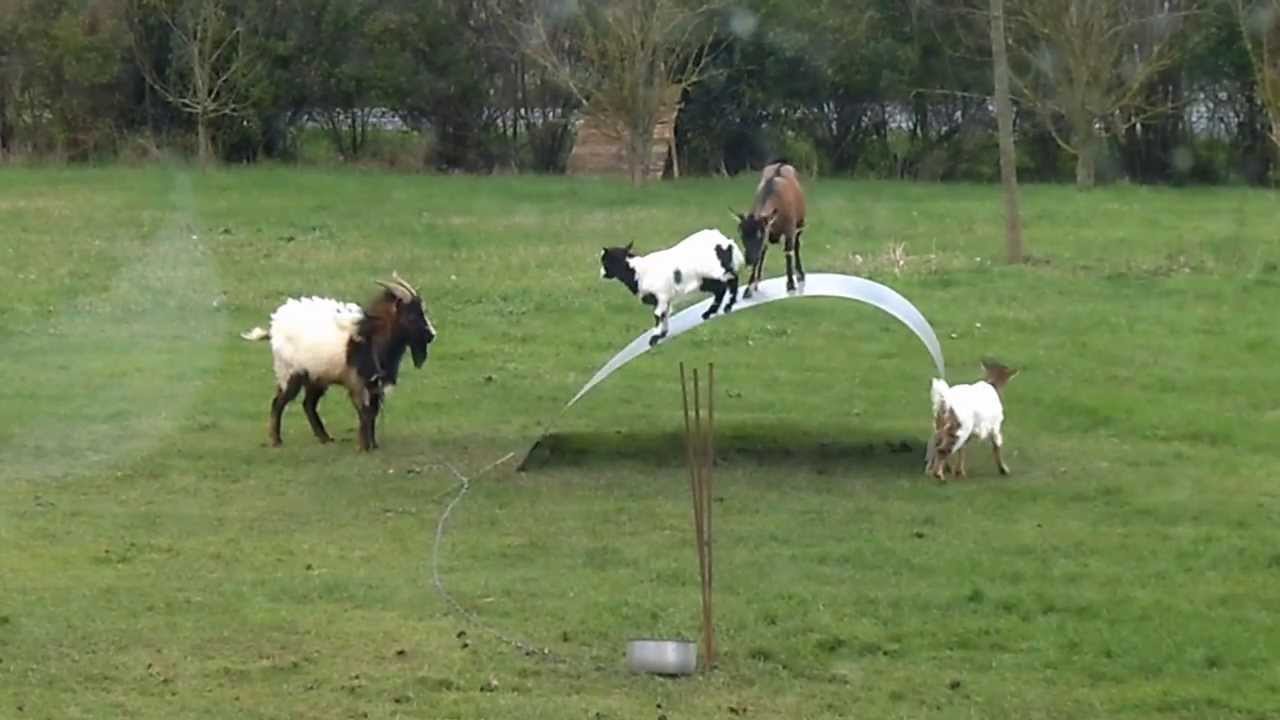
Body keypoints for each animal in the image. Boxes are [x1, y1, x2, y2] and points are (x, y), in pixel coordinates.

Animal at [240, 272, 436, 451]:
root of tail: (274, 327)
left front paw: (373, 445)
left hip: (316, 377)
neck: (370, 336)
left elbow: (372, 411)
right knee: (279, 402)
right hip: (290, 373)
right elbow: (364, 411)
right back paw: (276, 441)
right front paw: (363, 447)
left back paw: (325, 438)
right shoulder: (357, 381)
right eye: (412, 315)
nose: (432, 335)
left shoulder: (374, 383)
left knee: (308, 404)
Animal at [600, 228, 745, 347]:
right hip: (710, 278)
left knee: (725, 285)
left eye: (605, 261)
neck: (638, 272)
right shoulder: (665, 299)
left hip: (712, 275)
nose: (601, 273)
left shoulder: (661, 296)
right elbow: (665, 314)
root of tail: (726, 243)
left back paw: (717, 309)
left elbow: (658, 315)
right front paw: (662, 334)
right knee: (728, 284)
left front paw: (654, 338)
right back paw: (721, 308)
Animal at [731, 159, 807, 297]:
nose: (748, 260)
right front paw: (749, 287)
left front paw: (790, 284)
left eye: (759, 234)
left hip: (800, 223)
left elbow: (788, 253)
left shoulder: (789, 230)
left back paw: (800, 275)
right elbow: (760, 253)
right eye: (741, 235)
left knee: (797, 246)